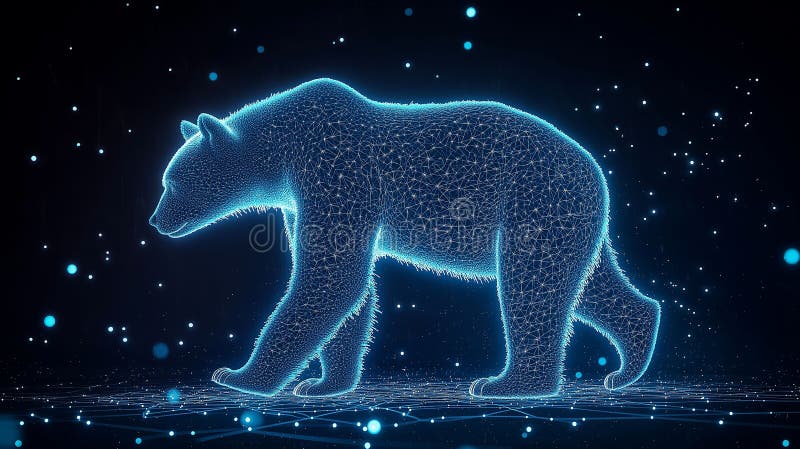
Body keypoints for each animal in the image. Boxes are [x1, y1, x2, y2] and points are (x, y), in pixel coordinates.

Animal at [149, 78, 661, 399]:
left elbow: (329, 281)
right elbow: (348, 290)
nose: (156, 220)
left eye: (173, 181)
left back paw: (507, 384)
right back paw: (628, 361)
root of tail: (597, 173)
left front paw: (239, 375)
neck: (285, 151)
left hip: (534, 204)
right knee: (590, 285)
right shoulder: (299, 203)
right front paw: (323, 383)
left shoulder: (337, 173)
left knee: (532, 289)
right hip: (570, 221)